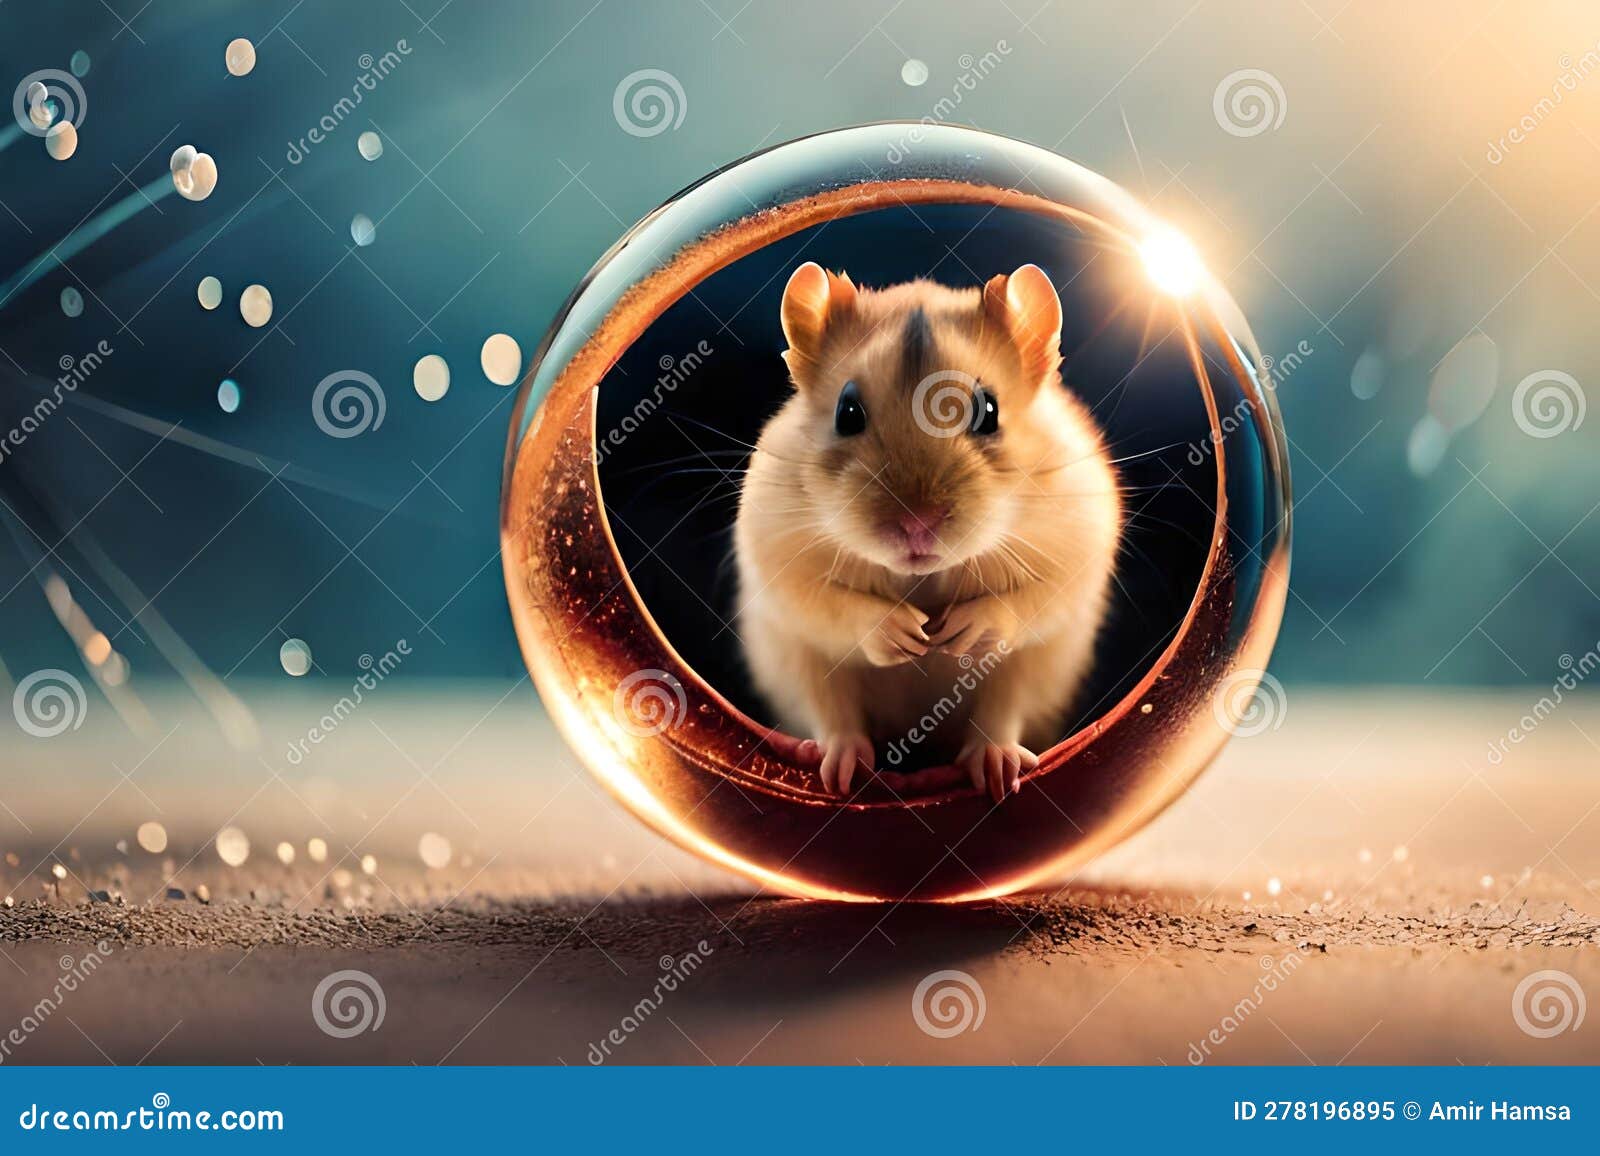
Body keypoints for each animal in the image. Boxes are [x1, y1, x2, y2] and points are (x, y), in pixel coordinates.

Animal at [734, 262, 1122, 803]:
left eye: (988, 411)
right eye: (846, 413)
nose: (917, 525)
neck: (922, 578)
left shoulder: (1076, 557)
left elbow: (1026, 603)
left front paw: (951, 635)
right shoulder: (778, 566)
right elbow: (832, 605)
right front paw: (912, 636)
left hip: (1036, 669)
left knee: (1001, 714)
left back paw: (998, 772)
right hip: (797, 662)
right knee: (832, 715)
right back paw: (842, 773)